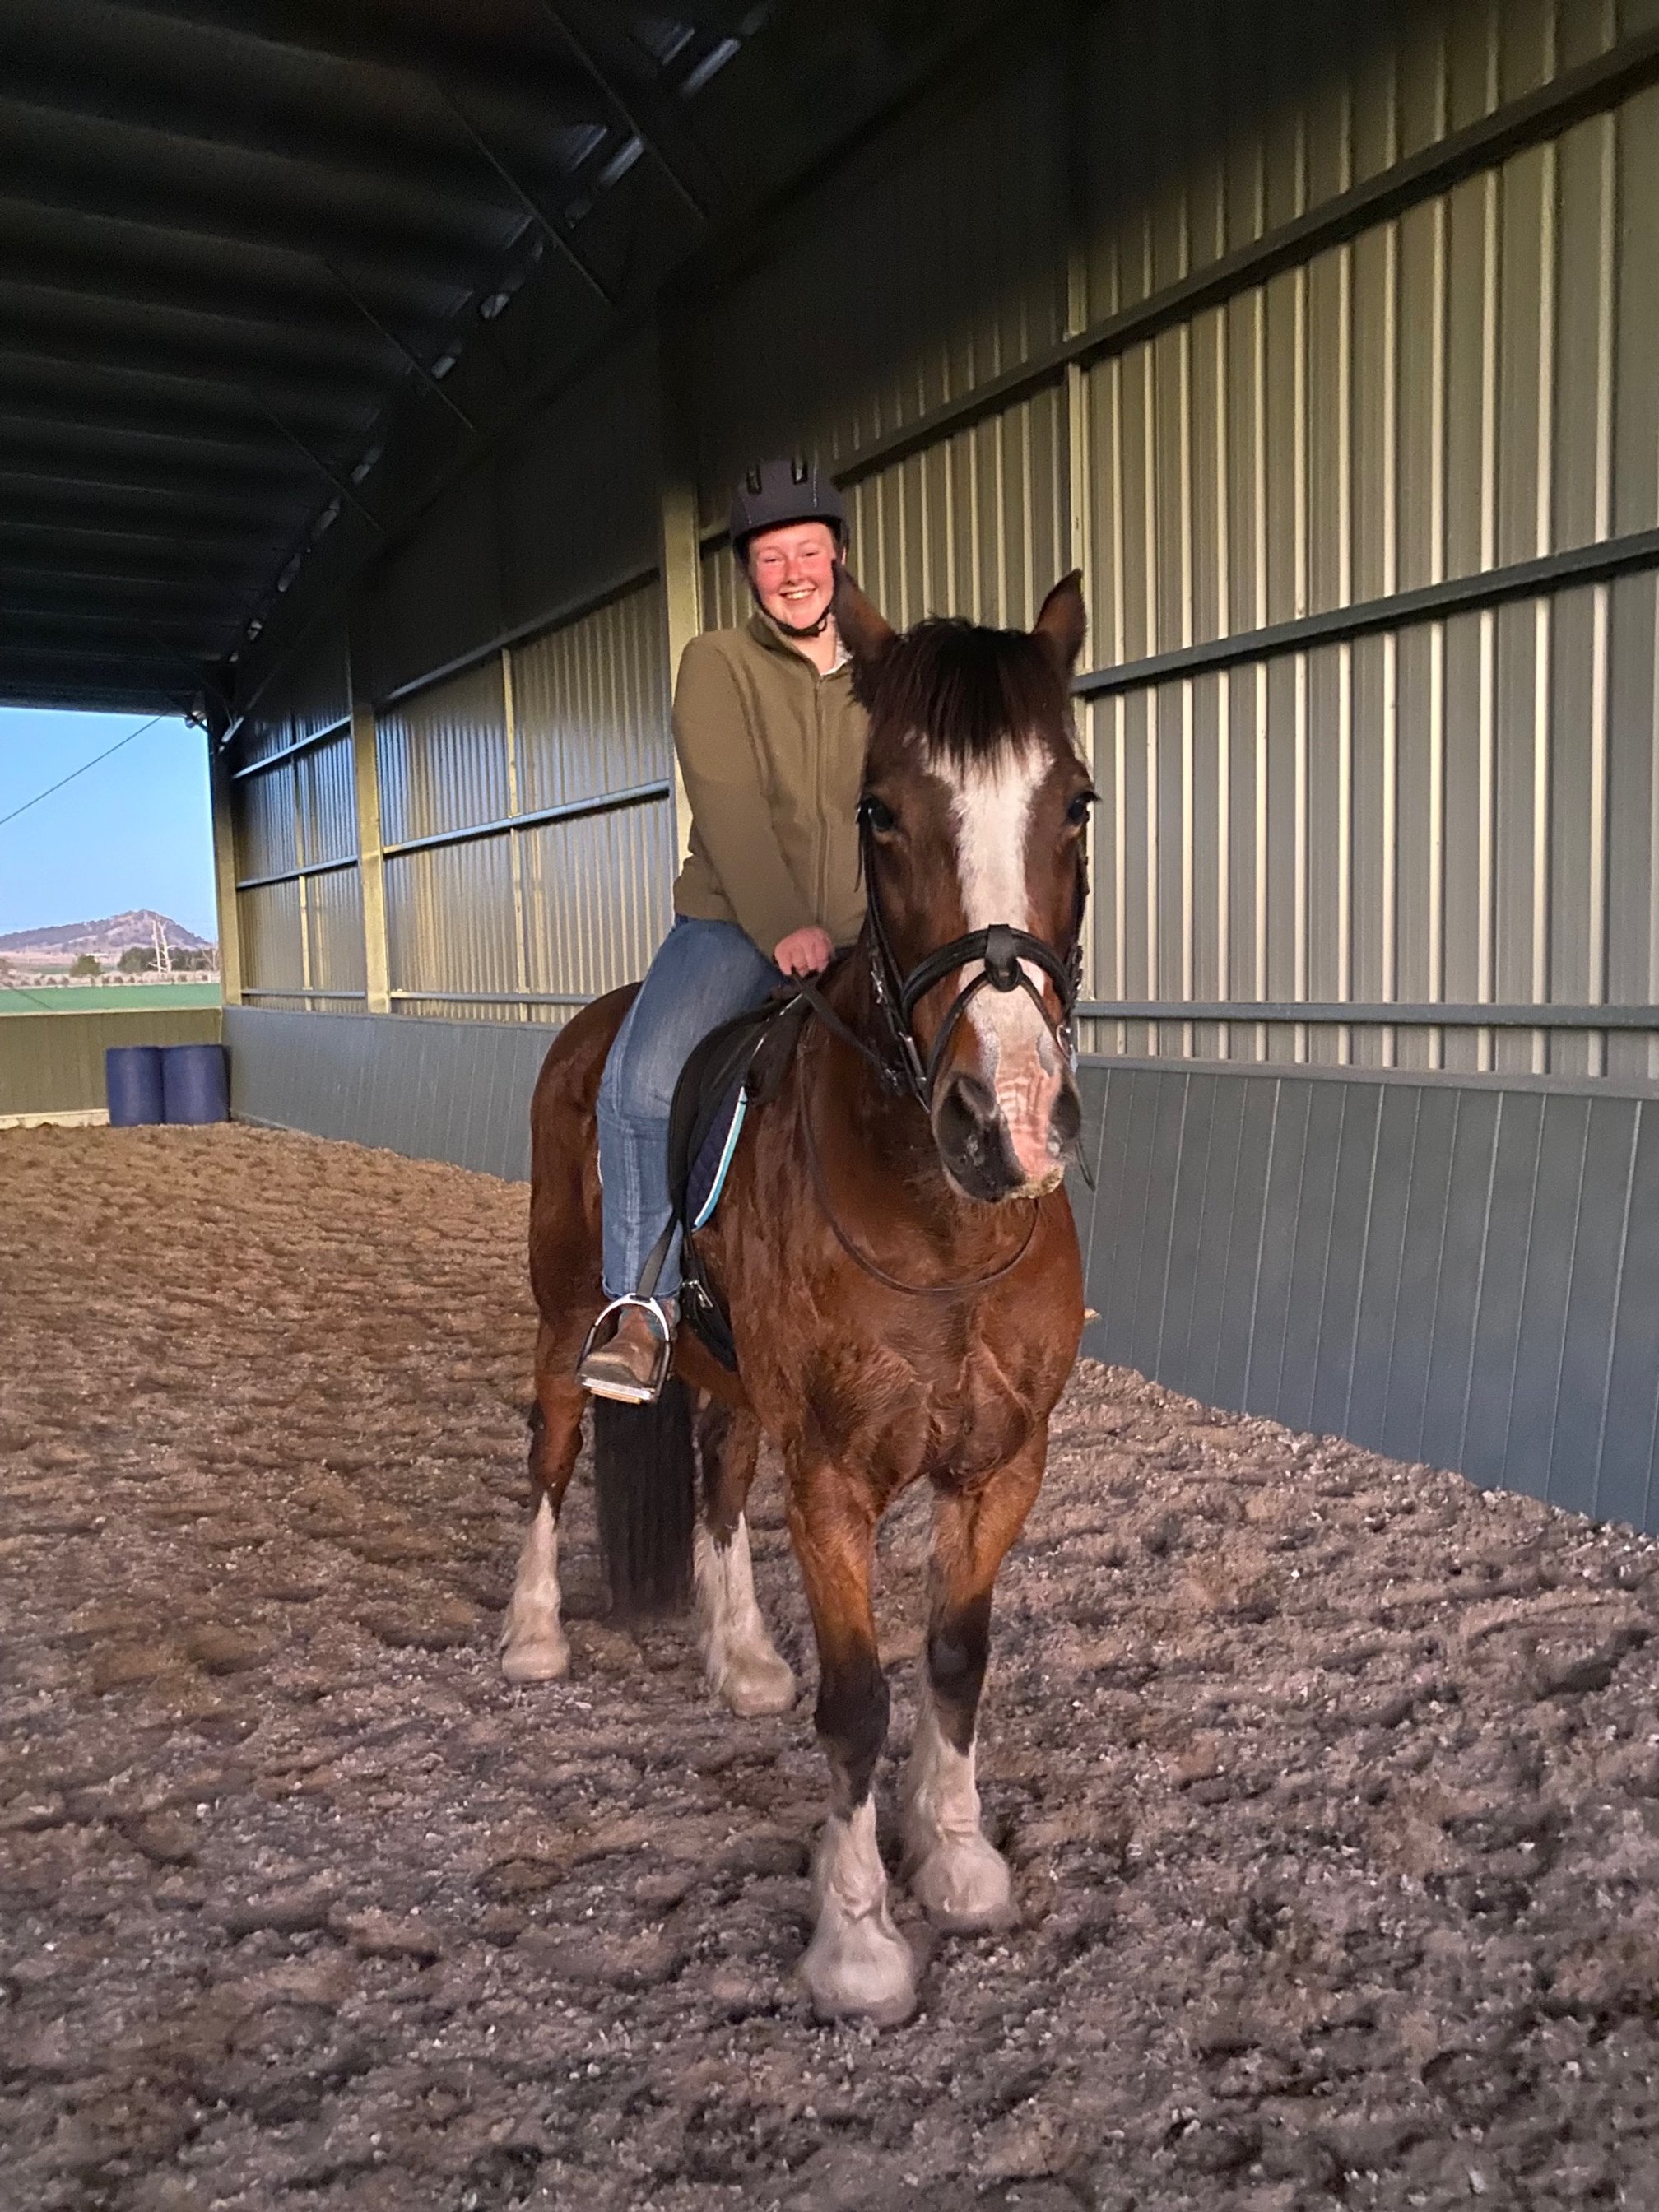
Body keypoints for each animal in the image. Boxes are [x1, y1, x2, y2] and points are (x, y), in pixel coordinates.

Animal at [502, 568, 1094, 2025]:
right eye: (879, 812)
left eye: (1076, 803)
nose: (1005, 1125)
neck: (941, 1220)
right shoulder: (836, 1477)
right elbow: (861, 1700)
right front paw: (859, 1940)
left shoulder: (1003, 1462)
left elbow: (956, 1658)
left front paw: (958, 1861)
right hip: (564, 1315)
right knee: (551, 1447)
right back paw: (534, 1637)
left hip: (735, 1371)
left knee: (718, 1475)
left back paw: (740, 1658)